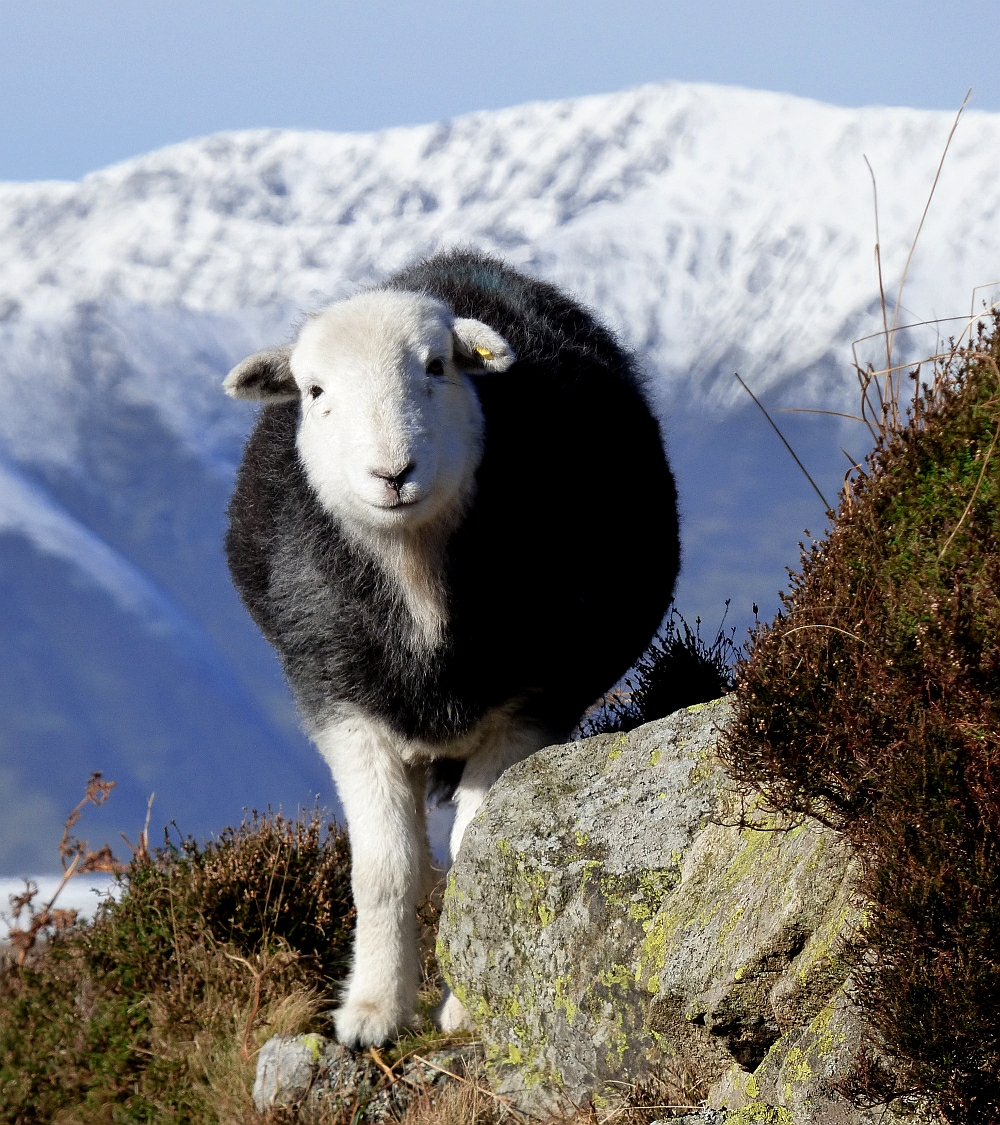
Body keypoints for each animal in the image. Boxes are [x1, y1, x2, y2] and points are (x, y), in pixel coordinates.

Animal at [223, 250, 679, 1048]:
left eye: (437, 366)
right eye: (315, 390)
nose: (391, 472)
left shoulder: (529, 707)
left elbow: (479, 857)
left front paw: (467, 1008)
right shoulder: (343, 710)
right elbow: (385, 872)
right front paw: (373, 1012)